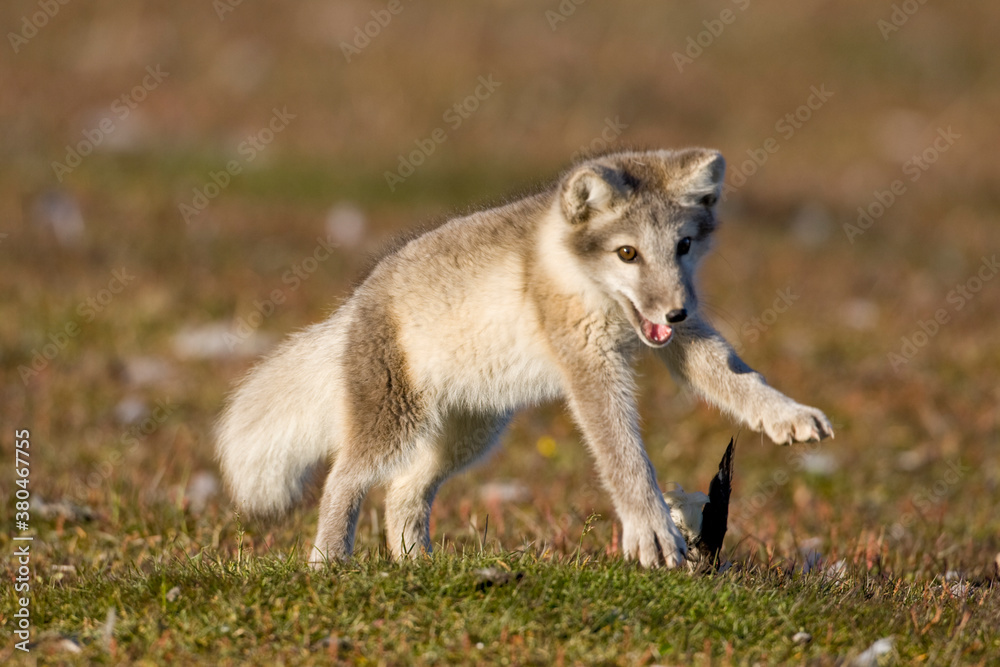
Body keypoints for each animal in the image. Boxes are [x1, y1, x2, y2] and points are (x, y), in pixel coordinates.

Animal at [215, 148, 834, 569]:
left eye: (683, 246)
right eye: (627, 253)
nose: (676, 311)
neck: (586, 284)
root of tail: (352, 305)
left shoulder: (677, 337)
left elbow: (736, 377)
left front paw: (788, 416)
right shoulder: (587, 364)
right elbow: (623, 456)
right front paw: (652, 528)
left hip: (470, 433)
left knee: (402, 493)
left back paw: (418, 565)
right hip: (397, 423)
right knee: (344, 478)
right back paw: (330, 561)